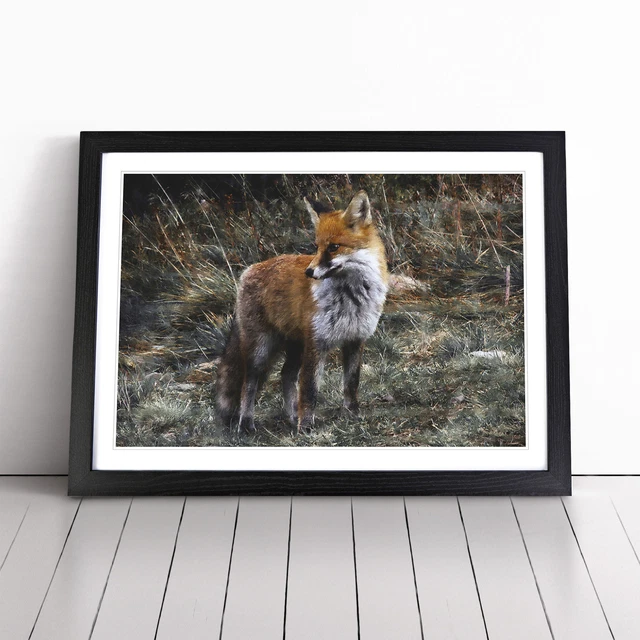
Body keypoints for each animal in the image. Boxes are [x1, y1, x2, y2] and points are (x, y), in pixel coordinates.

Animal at [216, 190, 388, 433]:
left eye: (334, 247)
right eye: (316, 247)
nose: (309, 272)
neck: (350, 297)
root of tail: (250, 269)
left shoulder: (355, 339)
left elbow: (351, 383)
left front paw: (352, 414)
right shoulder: (317, 342)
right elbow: (309, 390)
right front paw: (305, 426)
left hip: (295, 346)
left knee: (286, 375)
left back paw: (290, 416)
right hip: (261, 349)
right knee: (248, 384)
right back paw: (247, 423)